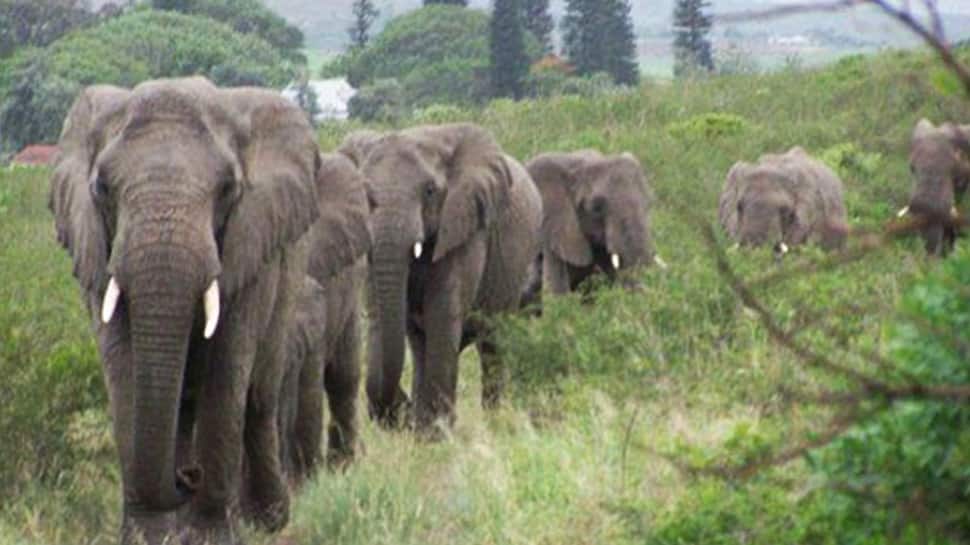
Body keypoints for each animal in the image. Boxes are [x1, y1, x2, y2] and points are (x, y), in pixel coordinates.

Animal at [49, 77, 323, 545]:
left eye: (229, 189)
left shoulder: (250, 246)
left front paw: (210, 536)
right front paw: (148, 536)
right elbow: (123, 370)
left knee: (259, 397)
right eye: (101, 188)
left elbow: (227, 370)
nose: (187, 477)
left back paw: (266, 519)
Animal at [339, 123, 543, 433]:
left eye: (430, 191)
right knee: (420, 343)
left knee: (491, 342)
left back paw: (492, 422)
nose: (403, 409)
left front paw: (437, 435)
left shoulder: (465, 225)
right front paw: (425, 431)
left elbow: (442, 313)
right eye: (363, 193)